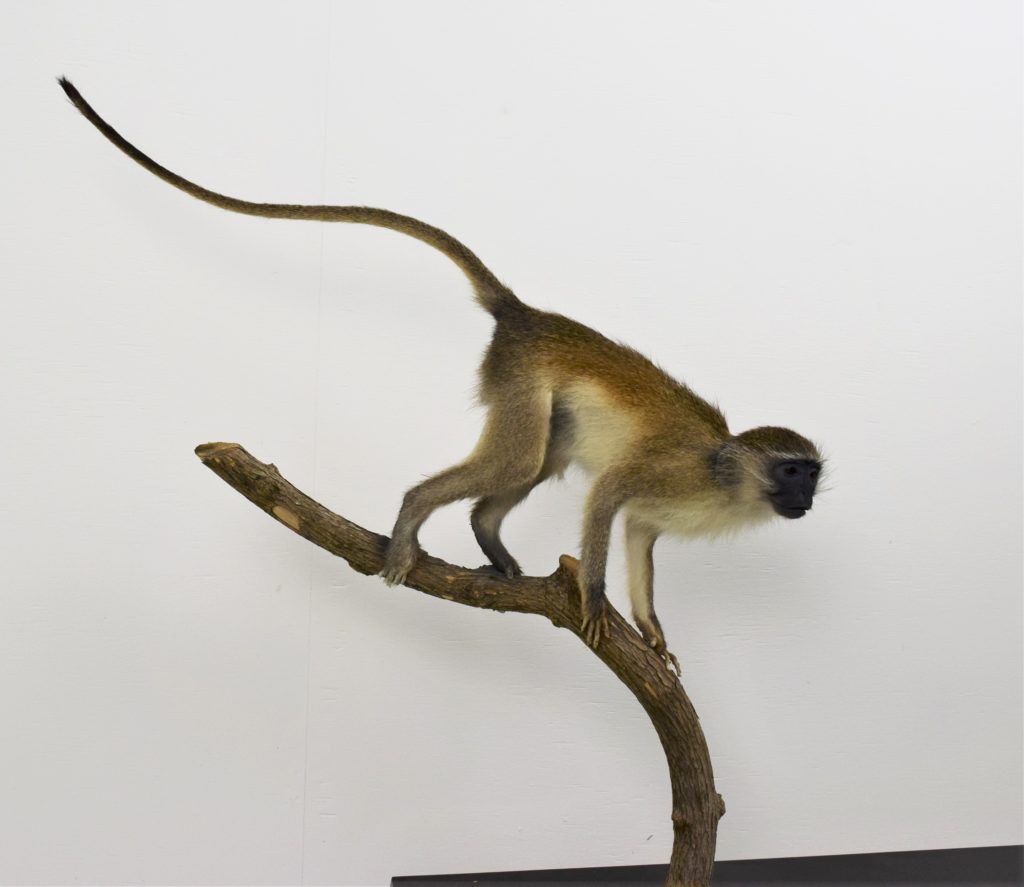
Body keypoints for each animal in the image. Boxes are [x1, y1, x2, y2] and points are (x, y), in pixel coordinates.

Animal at [59, 78, 824, 673]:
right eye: (792, 472)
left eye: (811, 474)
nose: (807, 499)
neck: (725, 473)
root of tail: (524, 315)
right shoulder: (669, 471)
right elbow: (607, 495)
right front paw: (596, 601)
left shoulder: (663, 508)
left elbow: (635, 530)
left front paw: (655, 636)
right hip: (518, 380)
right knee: (518, 458)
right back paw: (410, 516)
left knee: (535, 462)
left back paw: (488, 536)